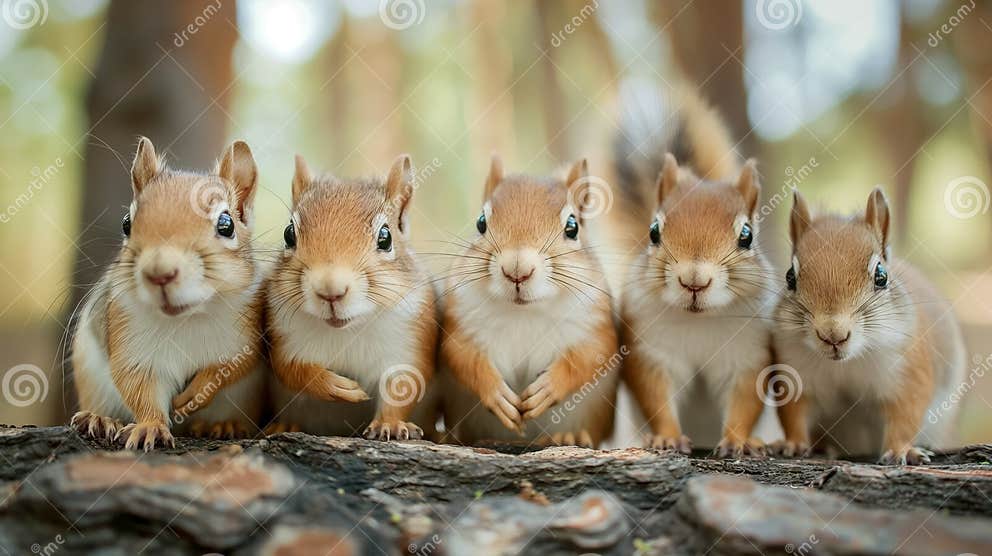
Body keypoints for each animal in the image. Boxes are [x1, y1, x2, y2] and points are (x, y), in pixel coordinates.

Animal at [70, 137, 267, 450]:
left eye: (226, 224)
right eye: (127, 223)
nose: (159, 272)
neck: (186, 317)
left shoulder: (247, 338)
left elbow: (228, 368)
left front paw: (194, 395)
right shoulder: (132, 346)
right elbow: (139, 389)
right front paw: (150, 426)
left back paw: (223, 425)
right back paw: (99, 419)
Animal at [265, 154, 437, 440]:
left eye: (385, 238)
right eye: (289, 234)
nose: (330, 291)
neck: (347, 330)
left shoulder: (408, 342)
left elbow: (402, 386)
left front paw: (389, 424)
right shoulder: (284, 334)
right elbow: (291, 369)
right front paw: (337, 386)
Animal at [439, 156, 620, 448]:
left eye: (573, 227)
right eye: (480, 222)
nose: (517, 270)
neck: (523, 312)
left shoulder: (596, 324)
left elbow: (590, 356)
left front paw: (549, 387)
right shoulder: (459, 321)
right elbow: (462, 356)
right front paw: (496, 392)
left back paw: (570, 436)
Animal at [612, 85, 776, 456]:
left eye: (747, 236)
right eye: (653, 232)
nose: (694, 281)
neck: (699, 320)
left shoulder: (749, 354)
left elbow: (745, 399)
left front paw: (739, 441)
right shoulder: (650, 349)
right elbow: (656, 396)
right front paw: (666, 437)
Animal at [772, 188, 966, 464]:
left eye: (881, 276)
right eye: (790, 277)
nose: (833, 335)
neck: (847, 363)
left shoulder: (908, 371)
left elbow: (906, 414)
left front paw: (901, 450)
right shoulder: (794, 370)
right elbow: (793, 414)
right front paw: (793, 443)